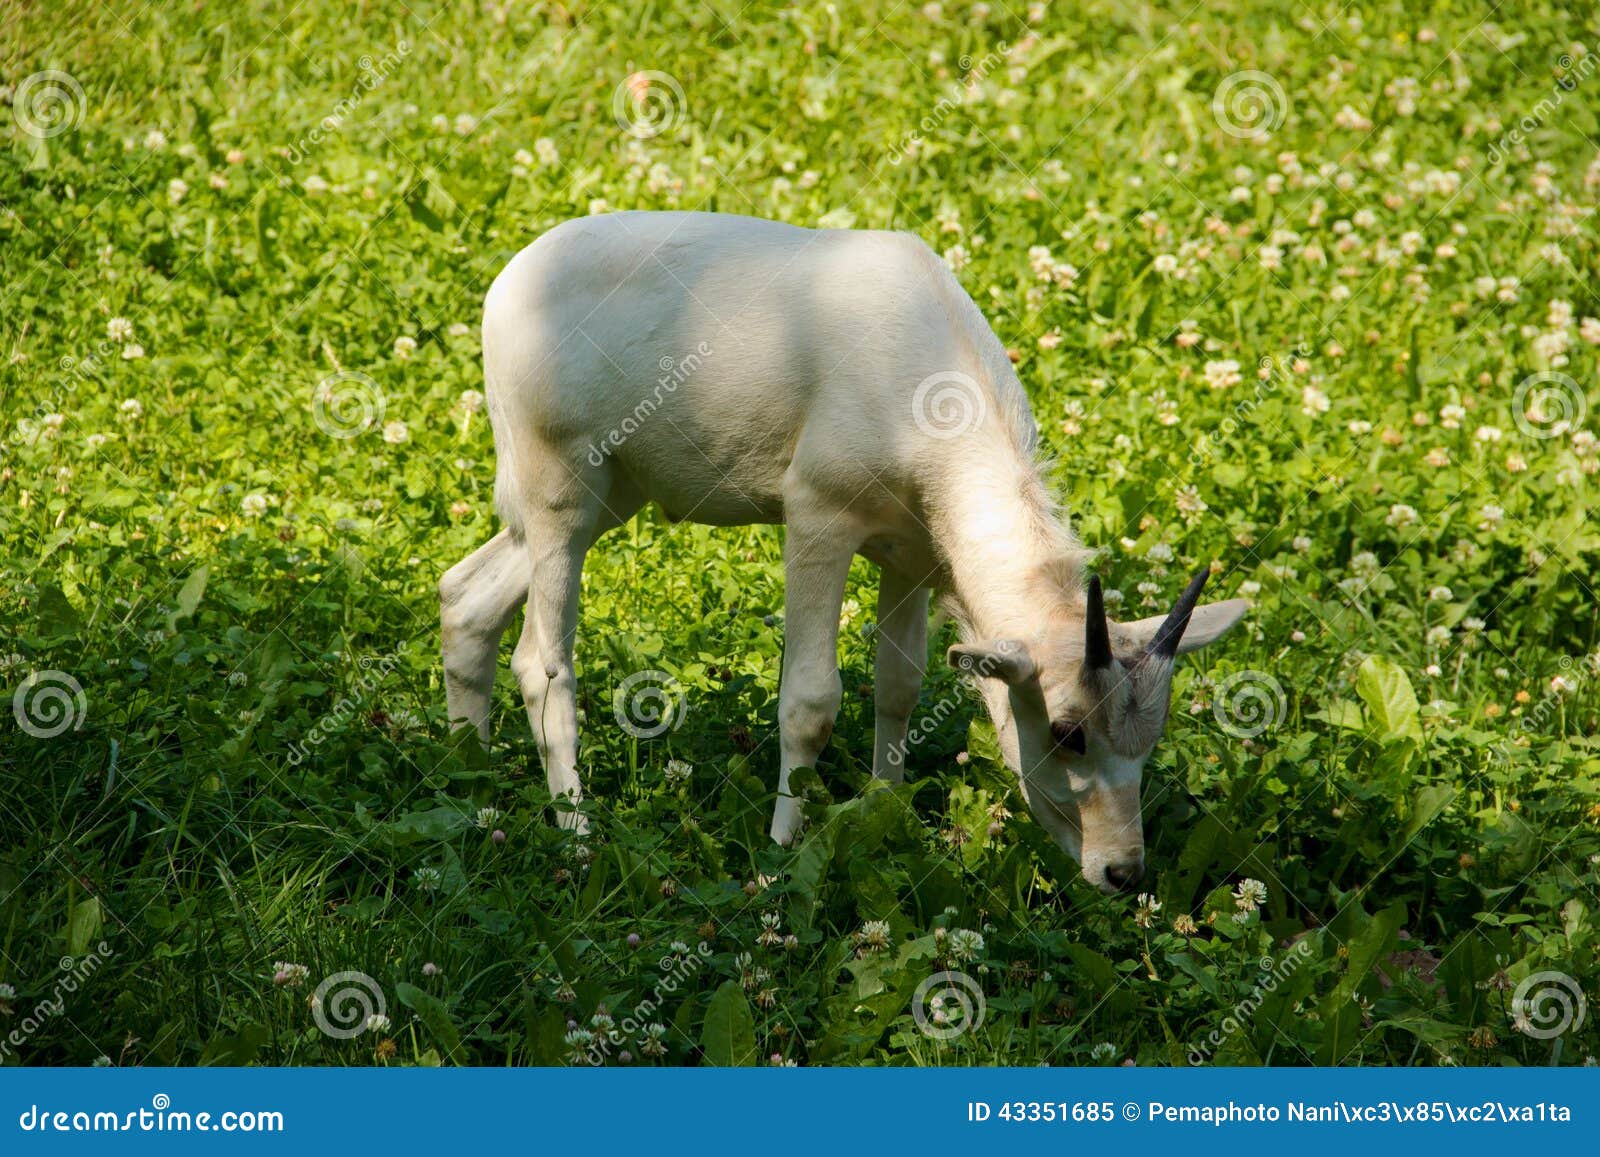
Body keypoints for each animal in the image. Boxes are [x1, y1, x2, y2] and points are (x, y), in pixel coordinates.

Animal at [440, 211, 1246, 894]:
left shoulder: (912, 555)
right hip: (562, 492)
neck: (926, 369)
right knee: (541, 660)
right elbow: (810, 701)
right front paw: (779, 854)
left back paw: (468, 778)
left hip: (615, 494)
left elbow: (900, 684)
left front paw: (886, 813)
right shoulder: (818, 517)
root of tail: (507, 289)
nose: (1122, 871)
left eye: (1151, 736)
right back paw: (577, 838)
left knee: (467, 596)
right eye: (1068, 732)